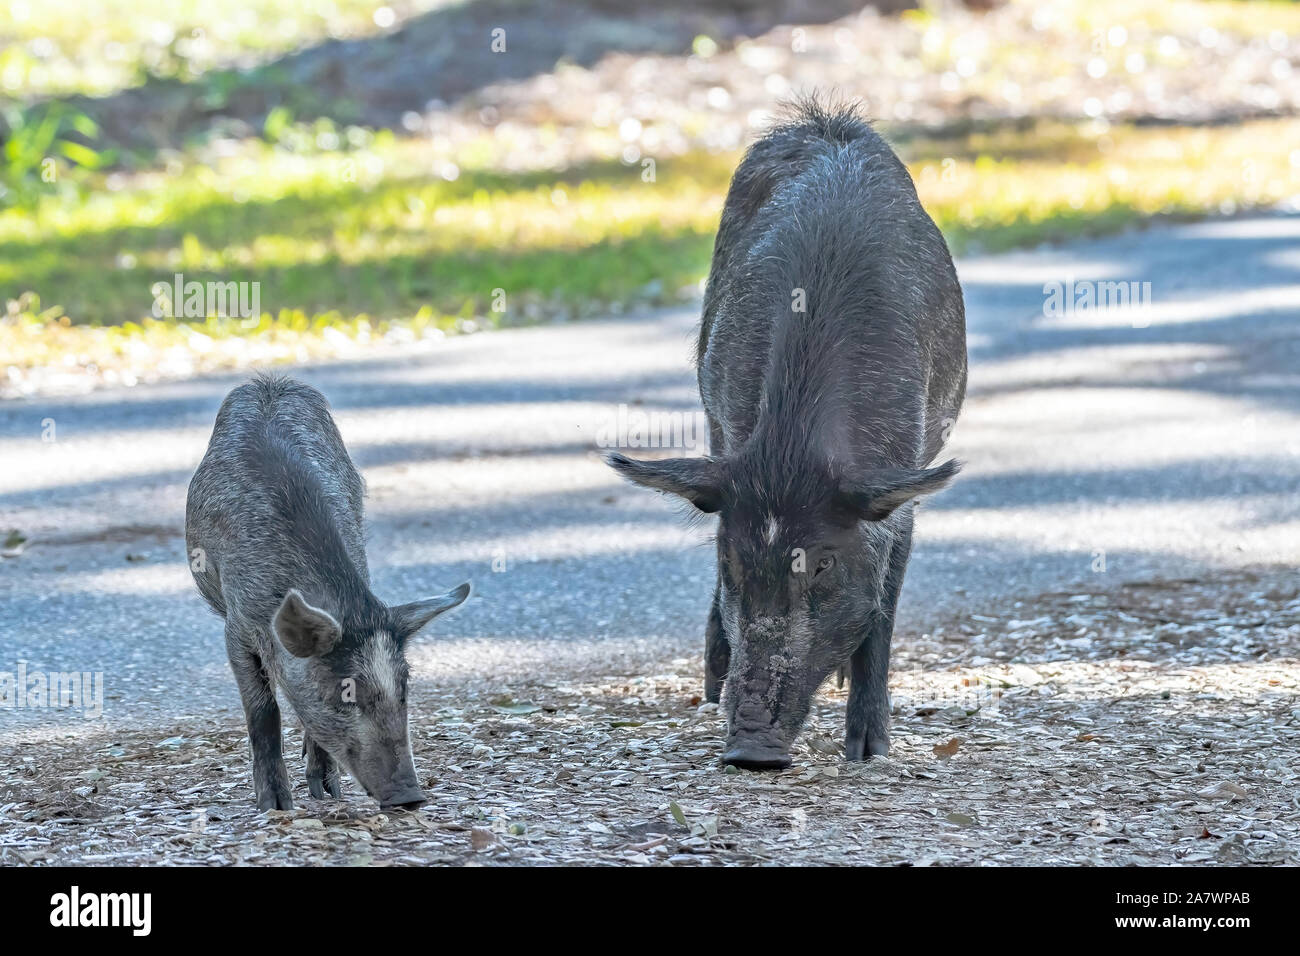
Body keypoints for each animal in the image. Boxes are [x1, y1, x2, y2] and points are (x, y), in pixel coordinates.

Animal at [186, 375, 470, 809]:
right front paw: (276, 807)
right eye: (343, 692)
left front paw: (326, 794)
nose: (410, 796)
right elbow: (263, 713)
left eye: (405, 686)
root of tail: (271, 380)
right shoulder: (237, 627)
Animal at [608, 99, 966, 769]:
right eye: (731, 560)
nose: (751, 750)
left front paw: (869, 750)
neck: (791, 452)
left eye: (823, 565)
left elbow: (884, 602)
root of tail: (820, 121)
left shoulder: (900, 476)